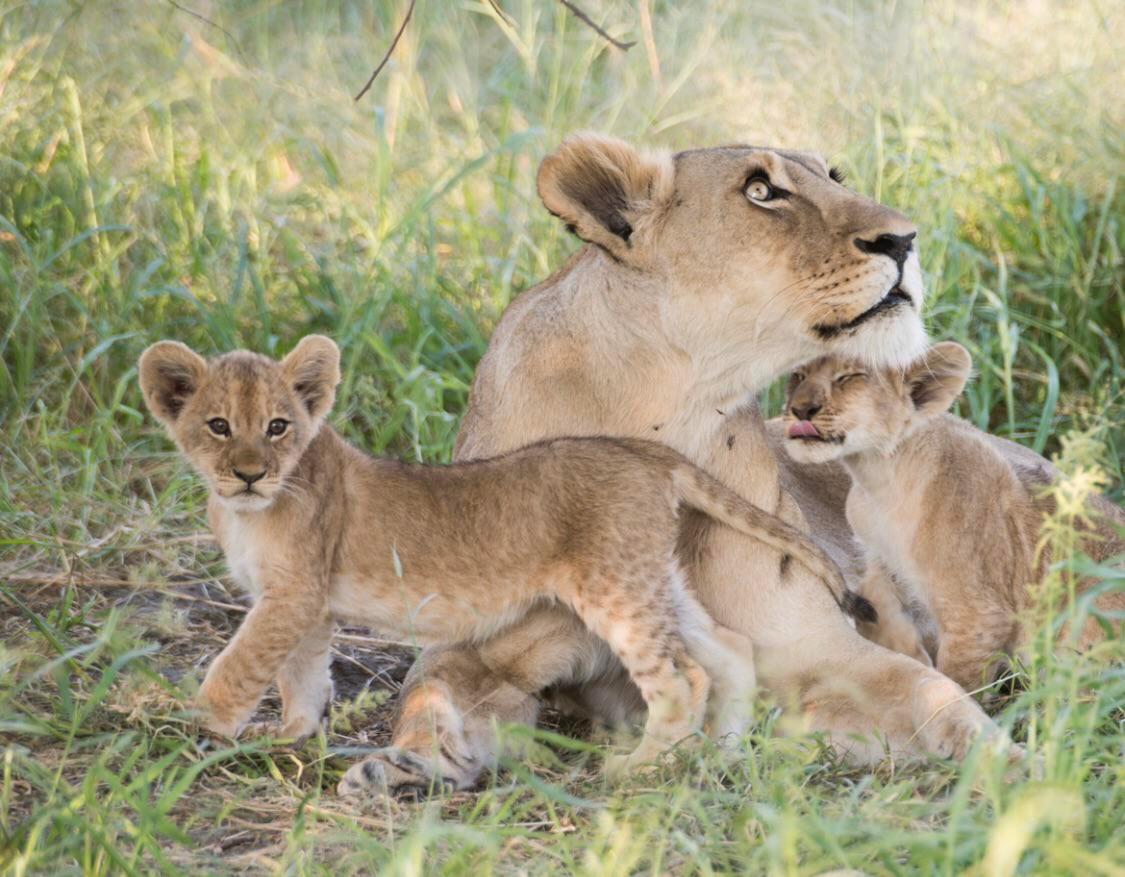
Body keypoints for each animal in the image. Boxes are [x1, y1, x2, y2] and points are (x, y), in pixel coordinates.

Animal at [138, 334, 869, 779]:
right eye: (218, 426)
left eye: (278, 426)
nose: (249, 474)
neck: (246, 510)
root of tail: (640, 450)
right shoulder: (308, 605)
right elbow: (302, 674)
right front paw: (289, 736)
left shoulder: (290, 594)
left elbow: (235, 667)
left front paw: (192, 729)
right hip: (652, 573)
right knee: (728, 649)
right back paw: (717, 756)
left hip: (613, 586)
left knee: (680, 677)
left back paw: (636, 769)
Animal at [339, 133, 1030, 796]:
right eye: (761, 190)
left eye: (835, 177)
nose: (905, 238)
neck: (674, 413)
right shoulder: (483, 648)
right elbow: (425, 692)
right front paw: (402, 764)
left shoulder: (823, 651)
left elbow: (937, 698)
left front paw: (1018, 776)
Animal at [781, 342, 1125, 688]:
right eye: (799, 374)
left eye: (849, 377)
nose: (799, 410)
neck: (877, 480)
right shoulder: (877, 554)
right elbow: (873, 592)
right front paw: (906, 649)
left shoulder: (980, 613)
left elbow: (957, 678)